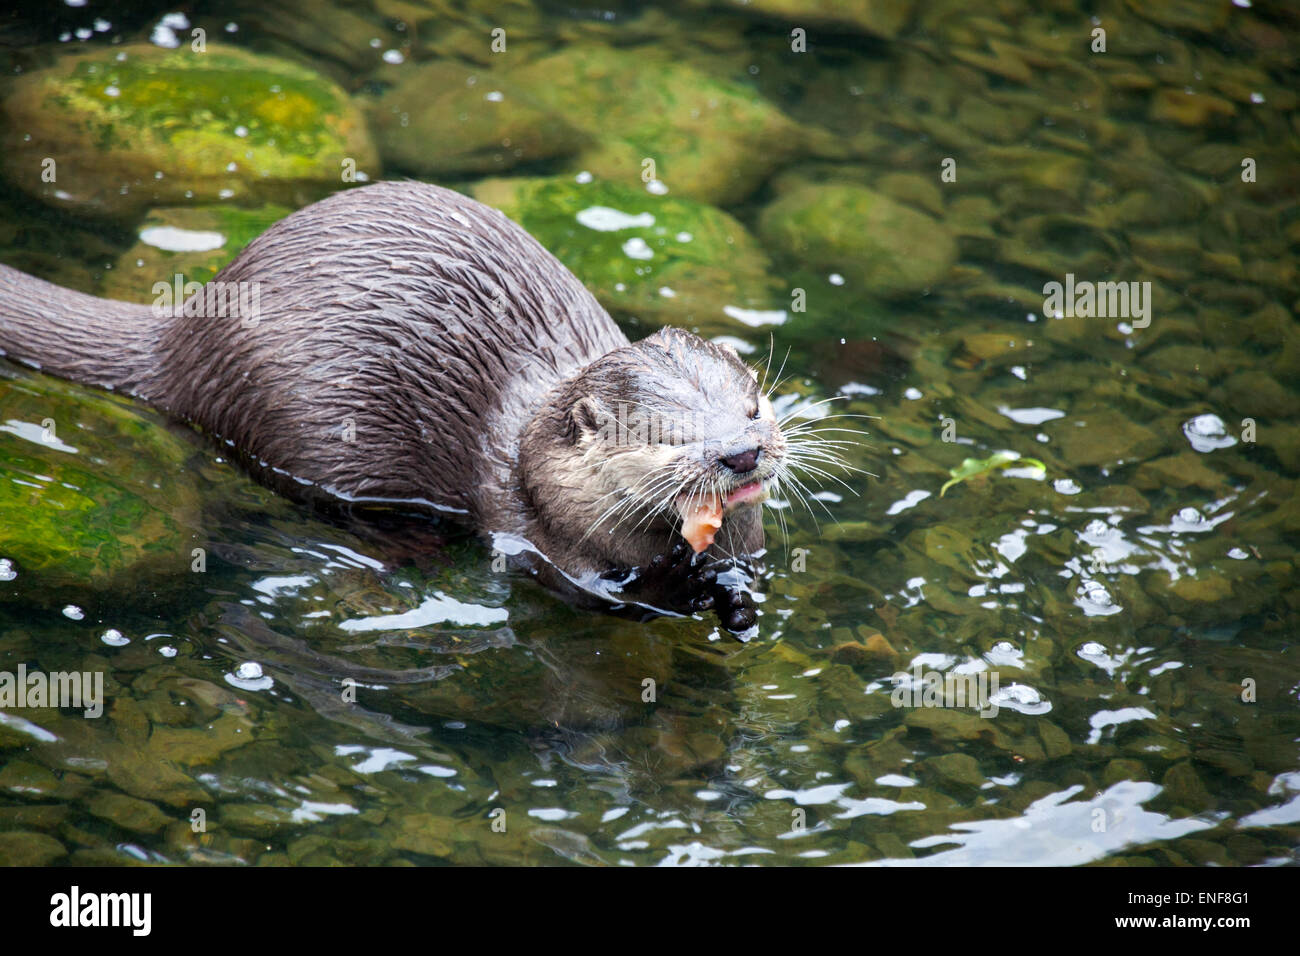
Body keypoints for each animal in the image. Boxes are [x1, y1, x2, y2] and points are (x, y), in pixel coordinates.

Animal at [0, 181, 803, 635]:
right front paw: (688, 597)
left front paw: (734, 599)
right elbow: (599, 596)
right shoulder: (543, 540)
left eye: (753, 406)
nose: (742, 453)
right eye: (663, 434)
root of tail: (186, 332)